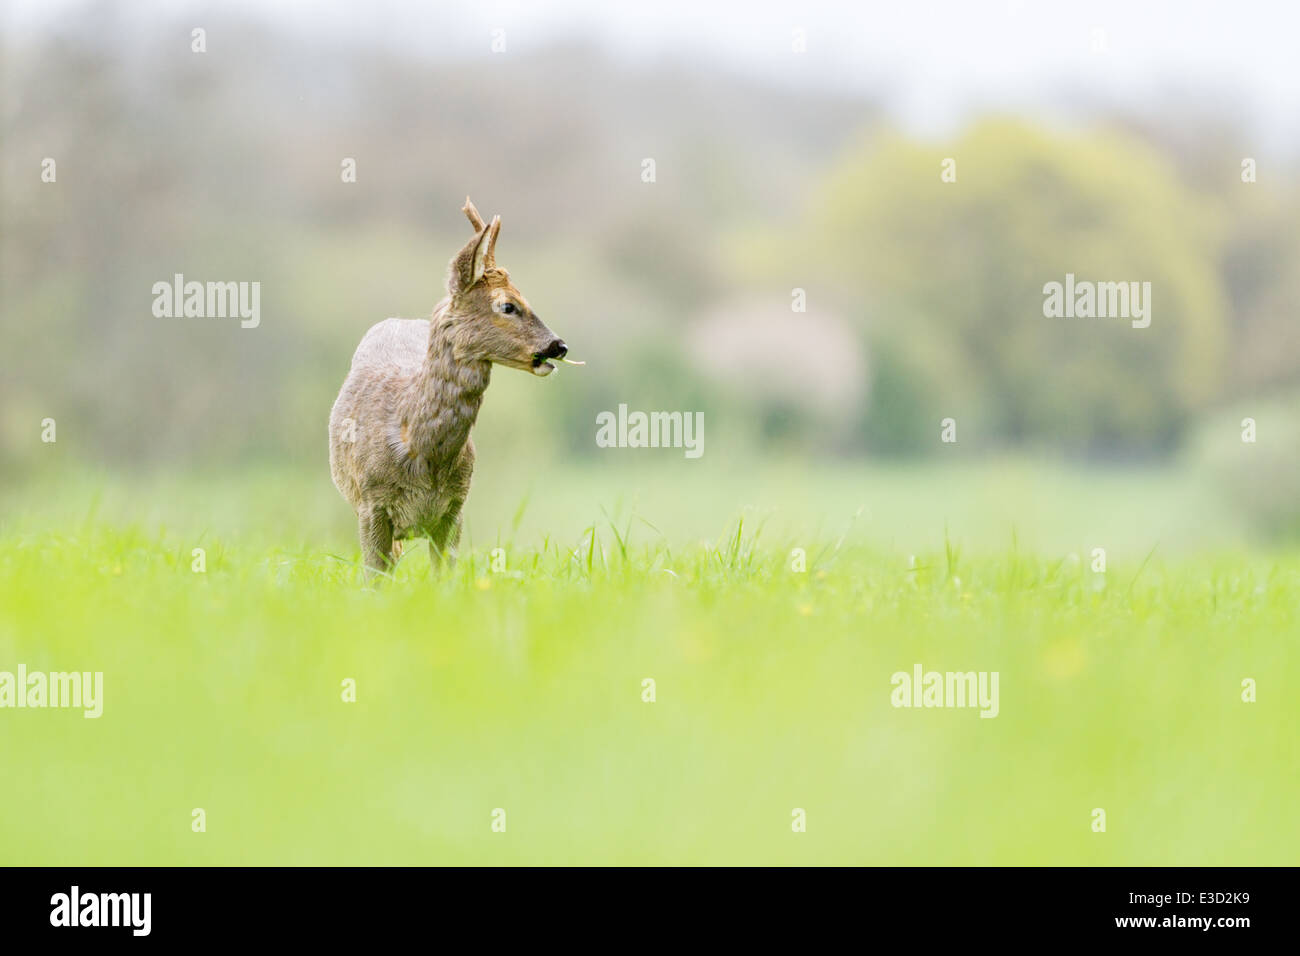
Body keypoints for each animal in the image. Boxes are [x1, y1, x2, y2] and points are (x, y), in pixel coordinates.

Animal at [329, 197, 568, 578]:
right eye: (508, 305)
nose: (558, 346)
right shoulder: (370, 504)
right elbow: (375, 577)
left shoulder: (455, 508)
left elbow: (444, 577)